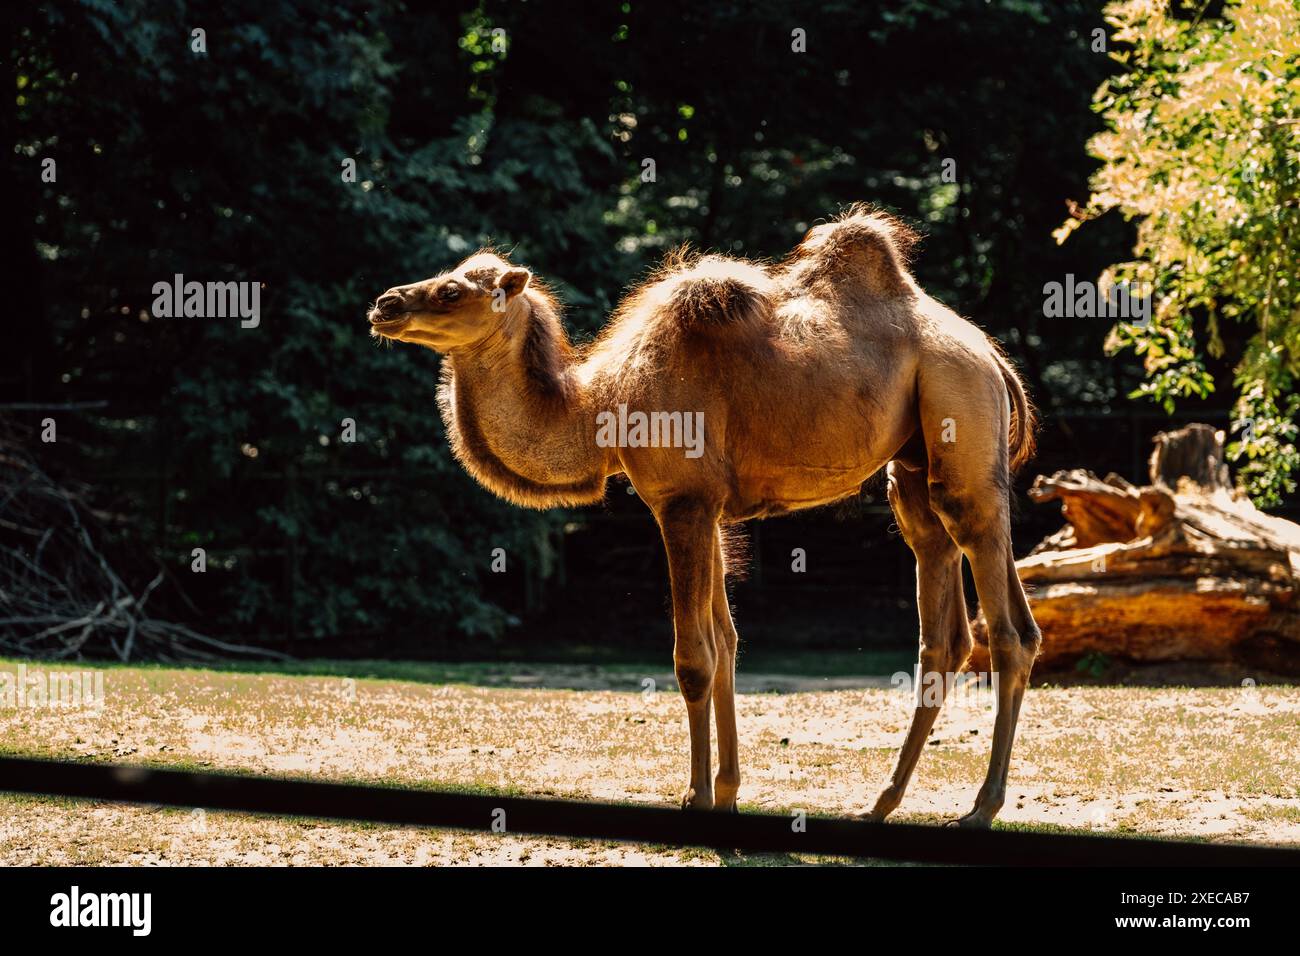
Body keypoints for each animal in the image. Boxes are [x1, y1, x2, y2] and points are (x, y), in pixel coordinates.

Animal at [367, 205, 1041, 827]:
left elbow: (692, 658)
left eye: (452, 290)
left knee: (1006, 628)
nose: (384, 303)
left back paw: (980, 808)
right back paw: (881, 803)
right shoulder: (710, 507)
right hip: (916, 466)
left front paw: (694, 797)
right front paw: (727, 792)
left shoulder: (682, 502)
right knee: (949, 630)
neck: (604, 405)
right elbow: (727, 642)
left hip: (960, 418)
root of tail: (990, 354)